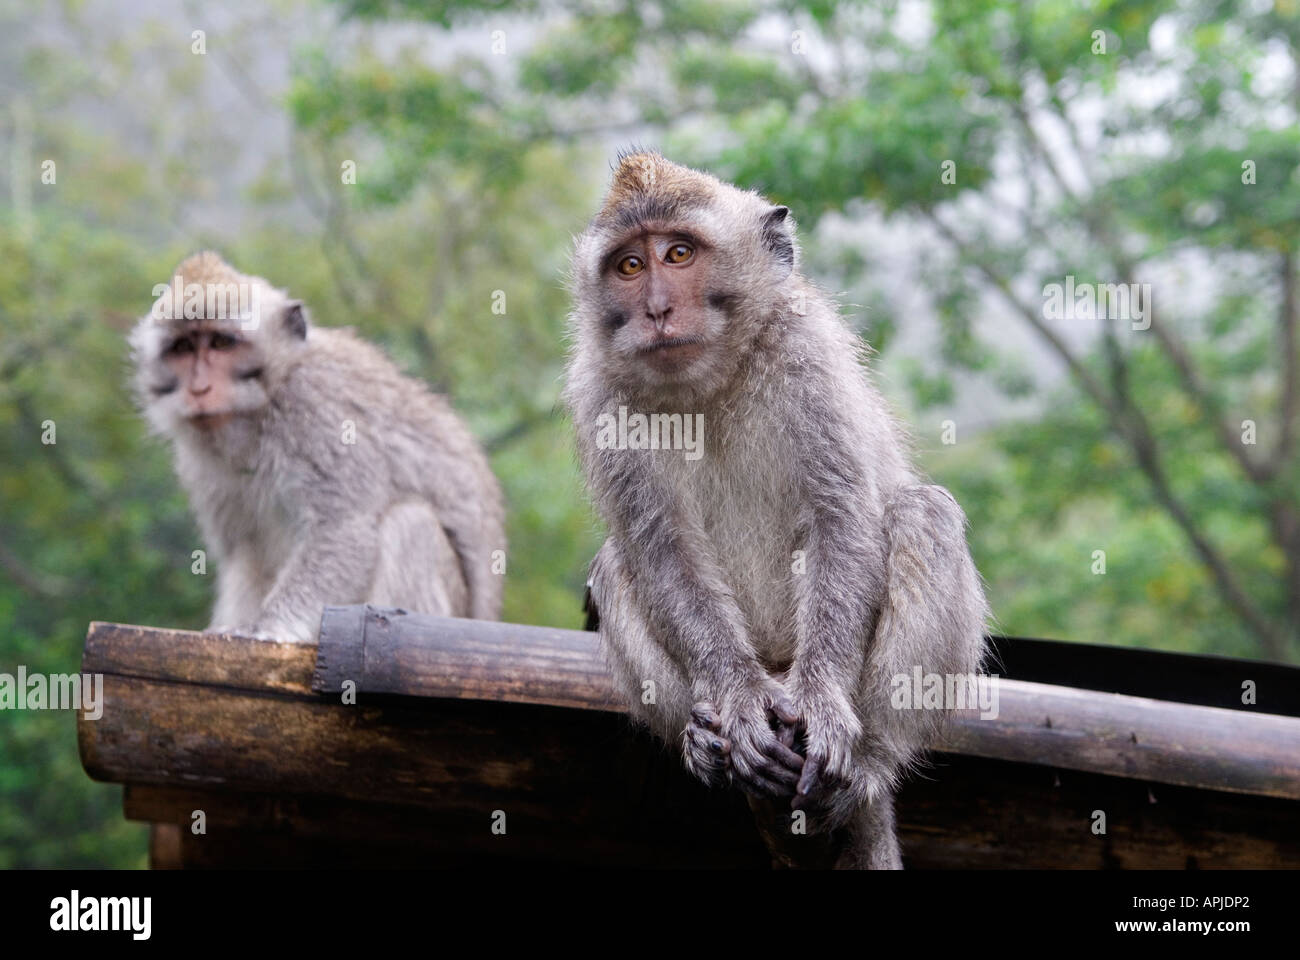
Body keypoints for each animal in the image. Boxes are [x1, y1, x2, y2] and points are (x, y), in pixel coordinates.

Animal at [130, 252, 505, 644]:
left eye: (221, 343)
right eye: (183, 348)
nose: (199, 389)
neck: (265, 405)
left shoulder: (319, 411)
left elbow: (342, 530)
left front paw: (265, 627)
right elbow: (246, 552)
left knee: (411, 524)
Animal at [565, 152, 989, 869]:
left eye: (679, 253)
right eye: (630, 265)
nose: (656, 308)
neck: (710, 380)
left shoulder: (805, 351)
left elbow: (838, 513)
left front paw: (822, 706)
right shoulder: (602, 394)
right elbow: (663, 551)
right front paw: (736, 704)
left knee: (923, 516)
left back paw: (865, 769)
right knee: (618, 567)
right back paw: (707, 743)